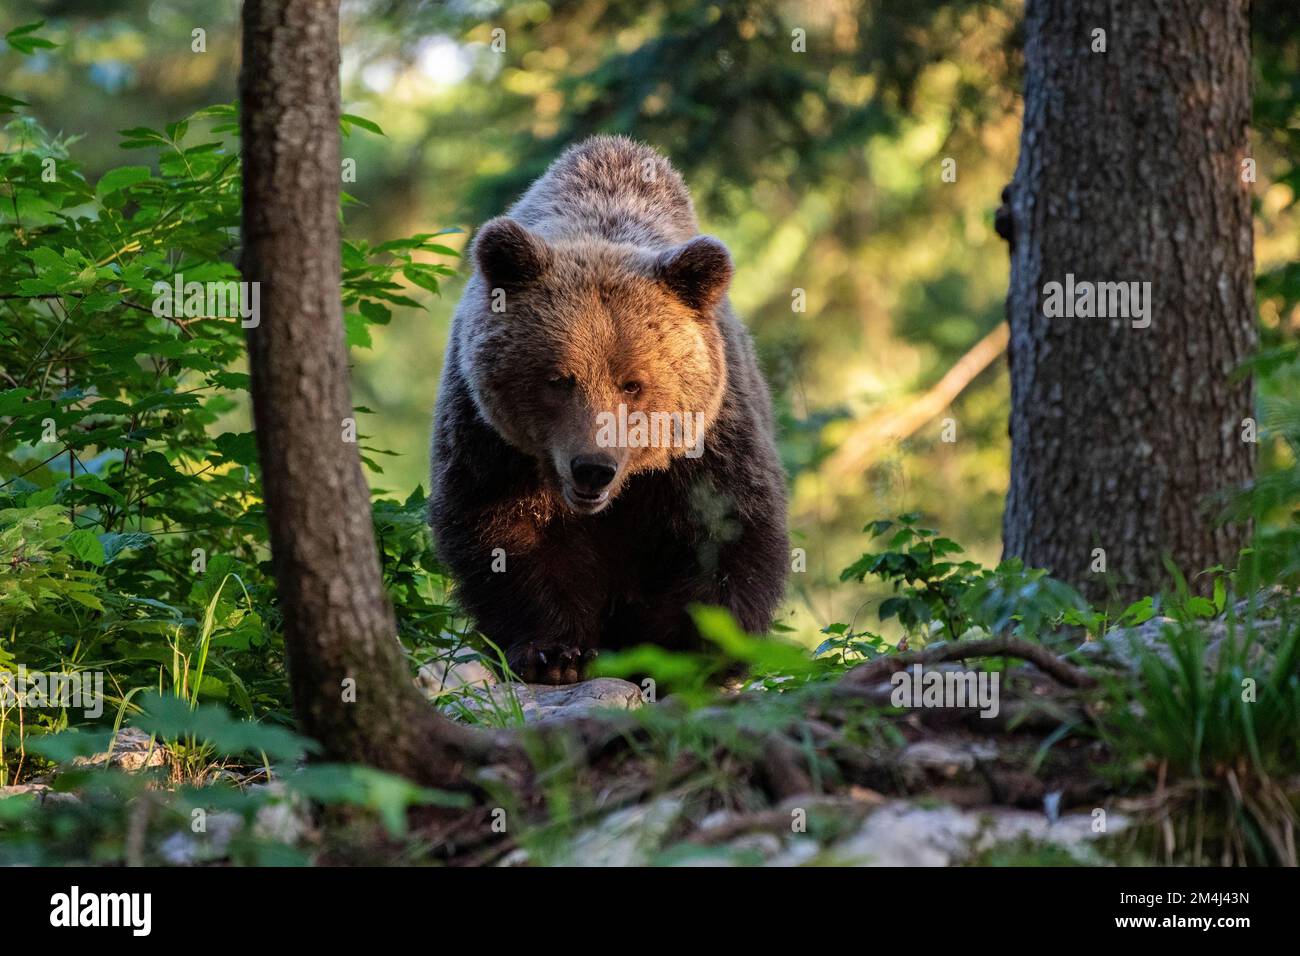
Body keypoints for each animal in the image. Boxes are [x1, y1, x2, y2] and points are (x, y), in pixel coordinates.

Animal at [429, 135, 788, 684]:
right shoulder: (488, 437)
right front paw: (554, 653)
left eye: (633, 384)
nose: (592, 468)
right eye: (559, 379)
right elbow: (505, 537)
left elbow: (728, 530)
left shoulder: (710, 438)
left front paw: (692, 653)